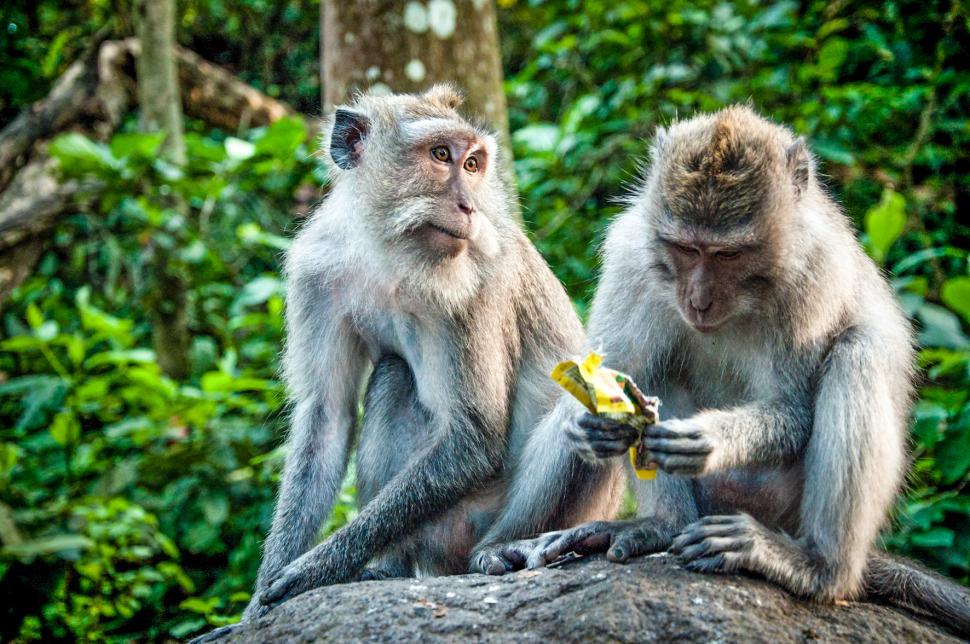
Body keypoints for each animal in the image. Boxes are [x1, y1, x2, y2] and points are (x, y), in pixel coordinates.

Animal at [191, 85, 586, 642]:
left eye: (473, 163)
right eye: (441, 156)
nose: (468, 206)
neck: (391, 253)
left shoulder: (478, 276)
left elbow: (474, 435)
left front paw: (313, 570)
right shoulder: (316, 272)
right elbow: (328, 416)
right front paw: (253, 611)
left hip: (472, 523)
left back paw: (501, 552)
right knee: (393, 376)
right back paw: (390, 570)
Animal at [471, 106, 970, 635]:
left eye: (728, 253)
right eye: (686, 249)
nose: (699, 300)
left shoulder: (814, 277)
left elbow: (794, 409)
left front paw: (709, 439)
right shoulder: (632, 259)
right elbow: (610, 374)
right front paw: (595, 425)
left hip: (769, 501)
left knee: (858, 352)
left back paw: (815, 567)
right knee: (653, 363)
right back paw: (631, 530)